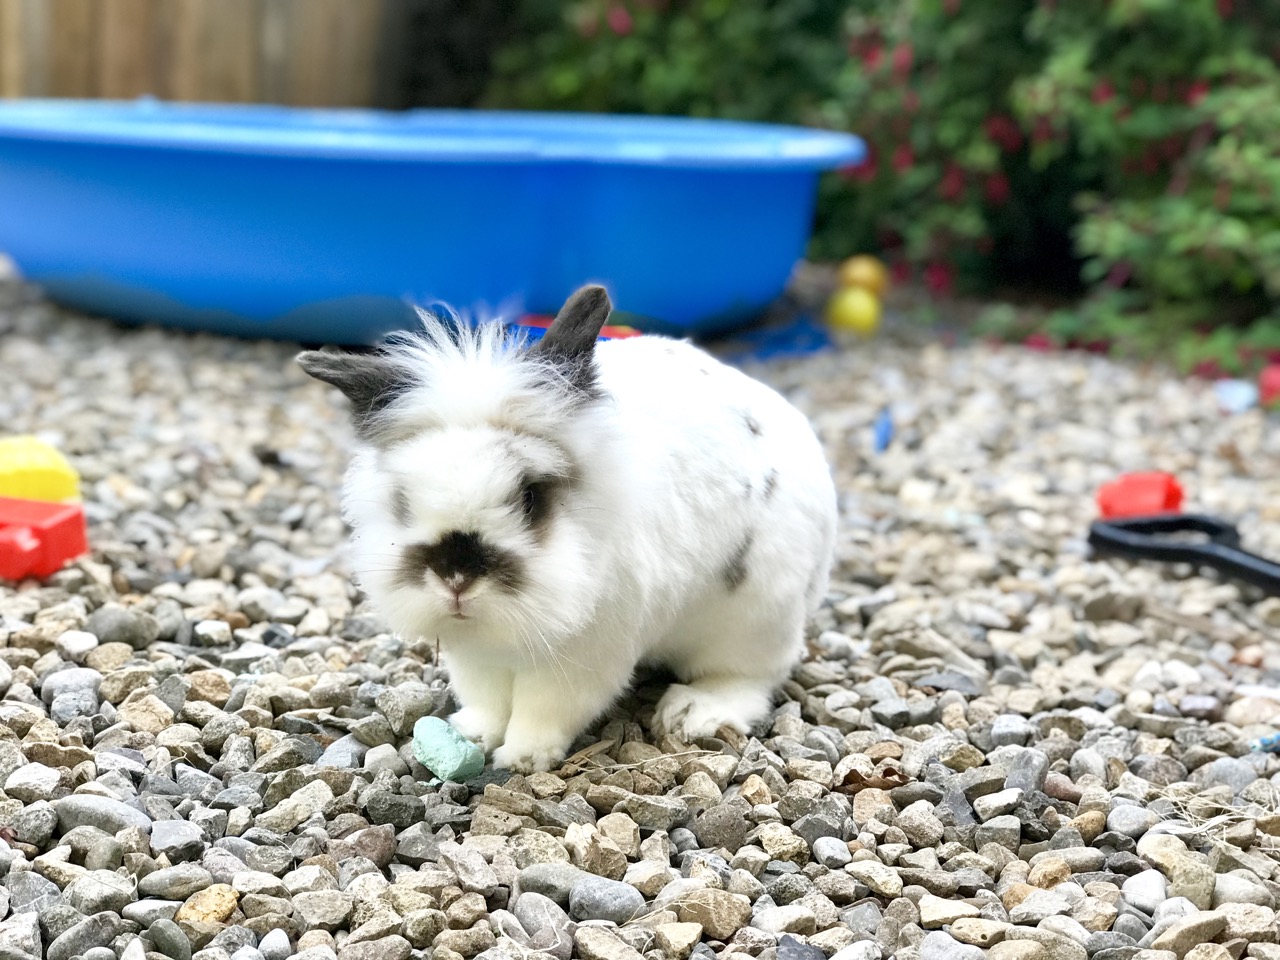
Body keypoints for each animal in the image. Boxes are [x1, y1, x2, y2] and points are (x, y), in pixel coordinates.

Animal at [298, 285, 837, 772]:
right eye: (404, 499)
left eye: (530, 497)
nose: (456, 579)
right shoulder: (476, 654)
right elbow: (488, 699)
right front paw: (471, 736)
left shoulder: (583, 656)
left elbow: (547, 707)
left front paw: (522, 758)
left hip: (752, 618)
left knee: (749, 678)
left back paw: (696, 714)